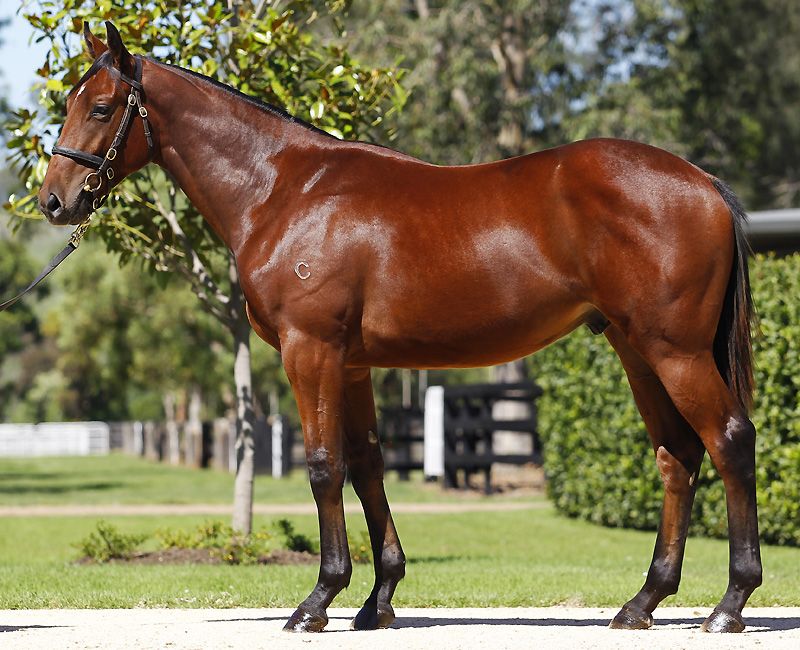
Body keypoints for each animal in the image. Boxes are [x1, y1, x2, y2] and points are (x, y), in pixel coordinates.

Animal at [39, 22, 761, 633]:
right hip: (635, 349)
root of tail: (704, 182)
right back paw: (643, 602)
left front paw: (318, 600)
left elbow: (324, 466)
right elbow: (367, 467)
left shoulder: (311, 352)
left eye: (101, 107)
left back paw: (728, 604)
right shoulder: (352, 364)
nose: (54, 201)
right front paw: (377, 600)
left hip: (675, 351)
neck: (284, 191)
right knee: (677, 455)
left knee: (729, 440)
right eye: (68, 103)